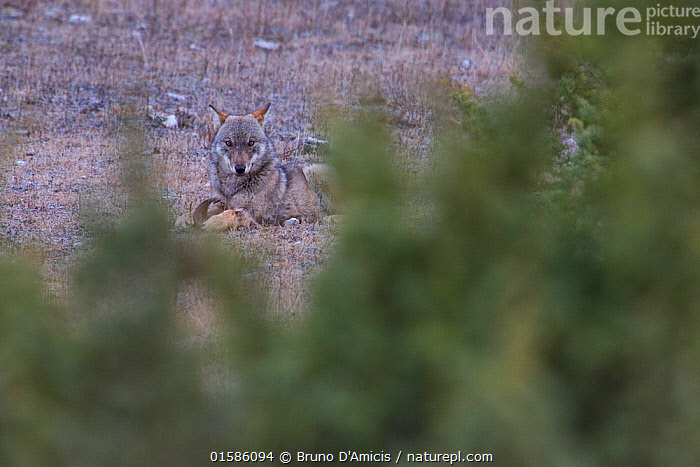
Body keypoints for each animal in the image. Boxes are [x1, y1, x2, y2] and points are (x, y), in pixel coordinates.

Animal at [187, 102, 333, 229]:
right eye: (229, 143)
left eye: (251, 142)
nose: (240, 169)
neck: (233, 187)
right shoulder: (222, 202)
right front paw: (185, 218)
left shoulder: (253, 213)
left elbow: (231, 213)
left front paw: (213, 222)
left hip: (312, 171)